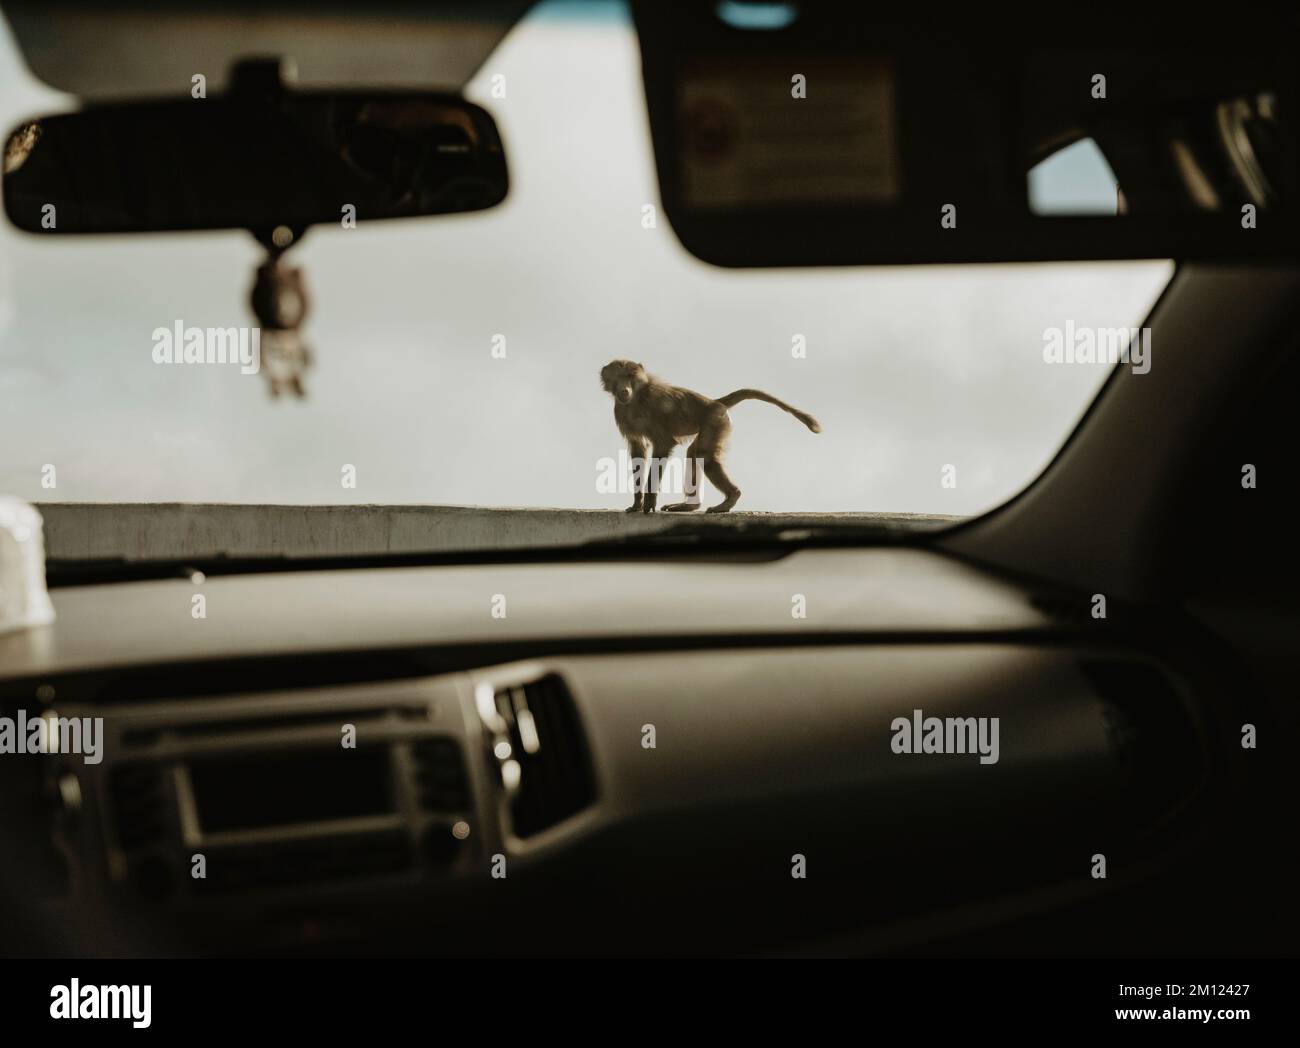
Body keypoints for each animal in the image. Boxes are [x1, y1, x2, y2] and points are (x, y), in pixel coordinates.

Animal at [599, 359, 821, 513]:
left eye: (631, 376)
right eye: (618, 378)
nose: (624, 390)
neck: (635, 400)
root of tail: (714, 402)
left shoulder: (652, 406)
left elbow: (663, 444)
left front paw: (650, 500)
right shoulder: (621, 412)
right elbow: (638, 451)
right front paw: (637, 503)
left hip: (715, 420)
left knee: (704, 456)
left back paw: (729, 499)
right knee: (694, 454)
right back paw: (689, 506)